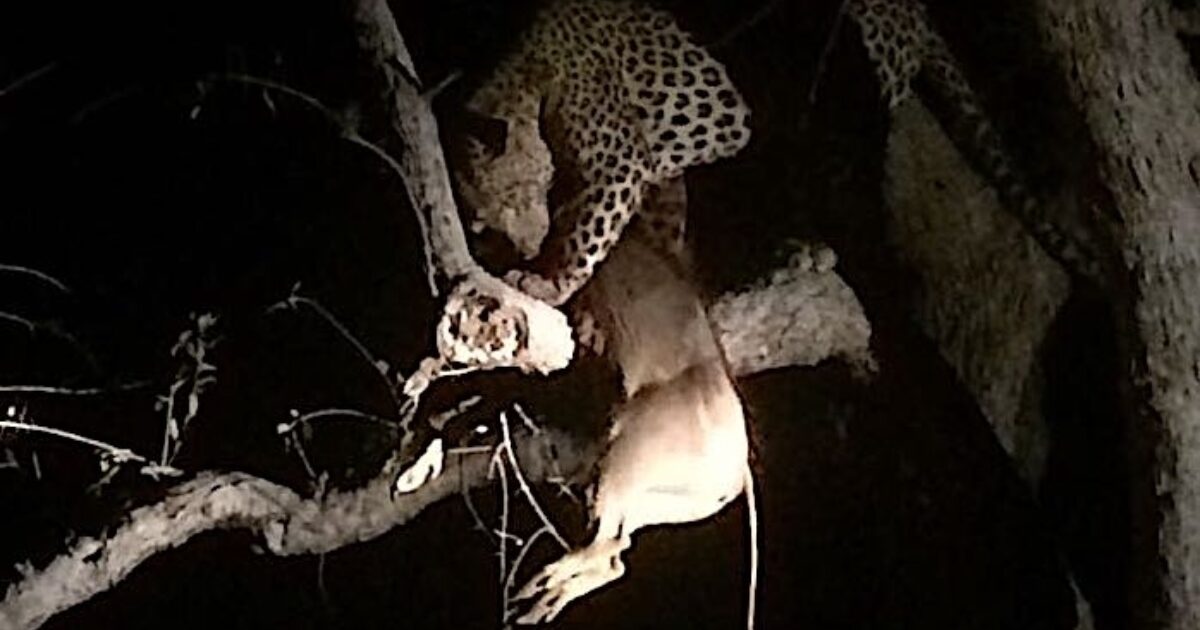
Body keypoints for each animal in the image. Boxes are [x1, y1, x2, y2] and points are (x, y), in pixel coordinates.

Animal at [453, 0, 752, 307]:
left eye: (513, 196)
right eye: (486, 226)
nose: (529, 252)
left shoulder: (619, 161)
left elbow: (588, 230)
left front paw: (552, 283)